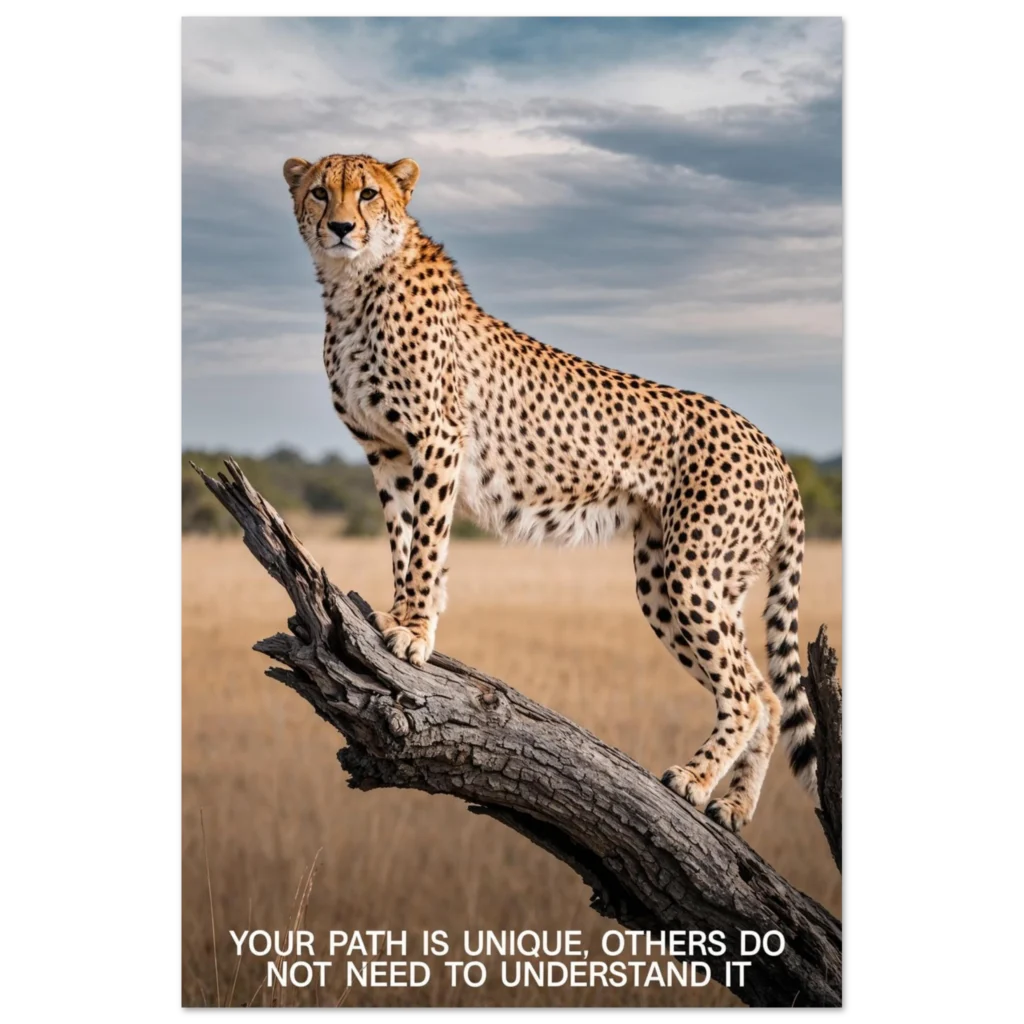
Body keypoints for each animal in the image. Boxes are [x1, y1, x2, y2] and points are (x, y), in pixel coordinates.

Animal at [281, 150, 820, 832]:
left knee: (748, 693)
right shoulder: (388, 451)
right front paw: (402, 615)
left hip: (691, 572)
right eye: (320, 193)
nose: (342, 227)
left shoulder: (436, 439)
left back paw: (695, 781)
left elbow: (426, 542)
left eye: (369, 193)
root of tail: (773, 447)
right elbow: (405, 541)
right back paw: (733, 805)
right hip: (681, 579)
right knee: (770, 694)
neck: (354, 286)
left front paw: (413, 630)